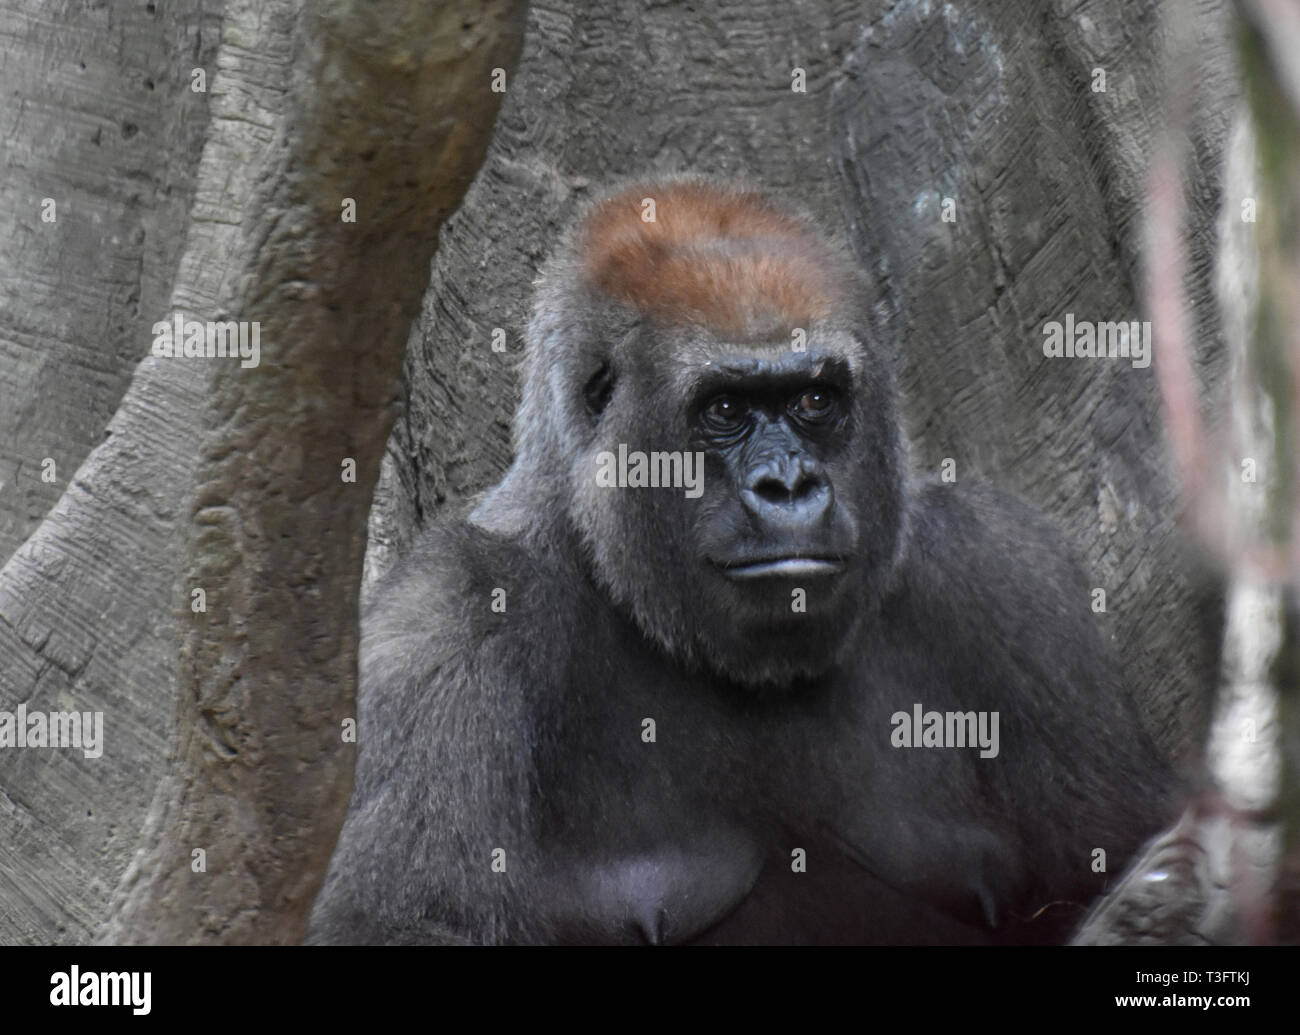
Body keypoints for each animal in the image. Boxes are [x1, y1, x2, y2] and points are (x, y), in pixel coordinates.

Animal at [307, 176, 1176, 945]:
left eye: (815, 399)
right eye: (724, 408)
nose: (787, 486)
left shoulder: (1007, 570)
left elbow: (1104, 853)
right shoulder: (443, 616)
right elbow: (396, 926)